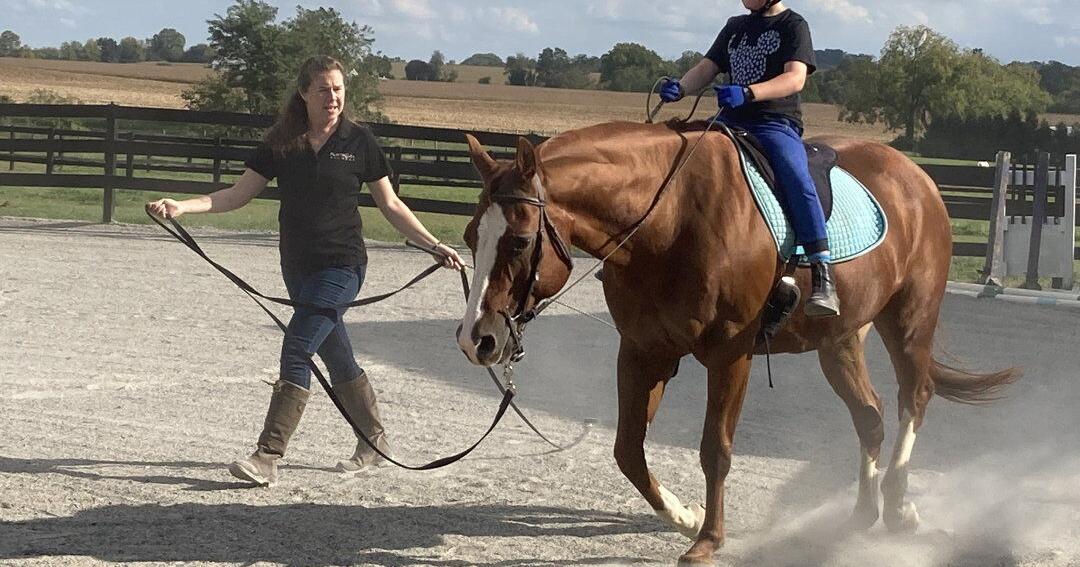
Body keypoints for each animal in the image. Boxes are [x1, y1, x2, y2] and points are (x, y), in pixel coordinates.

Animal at [454, 121, 1020, 565]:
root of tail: (916, 177)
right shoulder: (643, 351)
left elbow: (716, 450)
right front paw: (687, 515)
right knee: (870, 416)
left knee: (914, 397)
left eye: (519, 242)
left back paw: (901, 507)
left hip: (908, 321)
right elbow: (628, 451)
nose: (475, 339)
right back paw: (863, 513)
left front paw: (708, 539)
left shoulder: (731, 355)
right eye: (469, 236)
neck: (670, 219)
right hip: (839, 341)